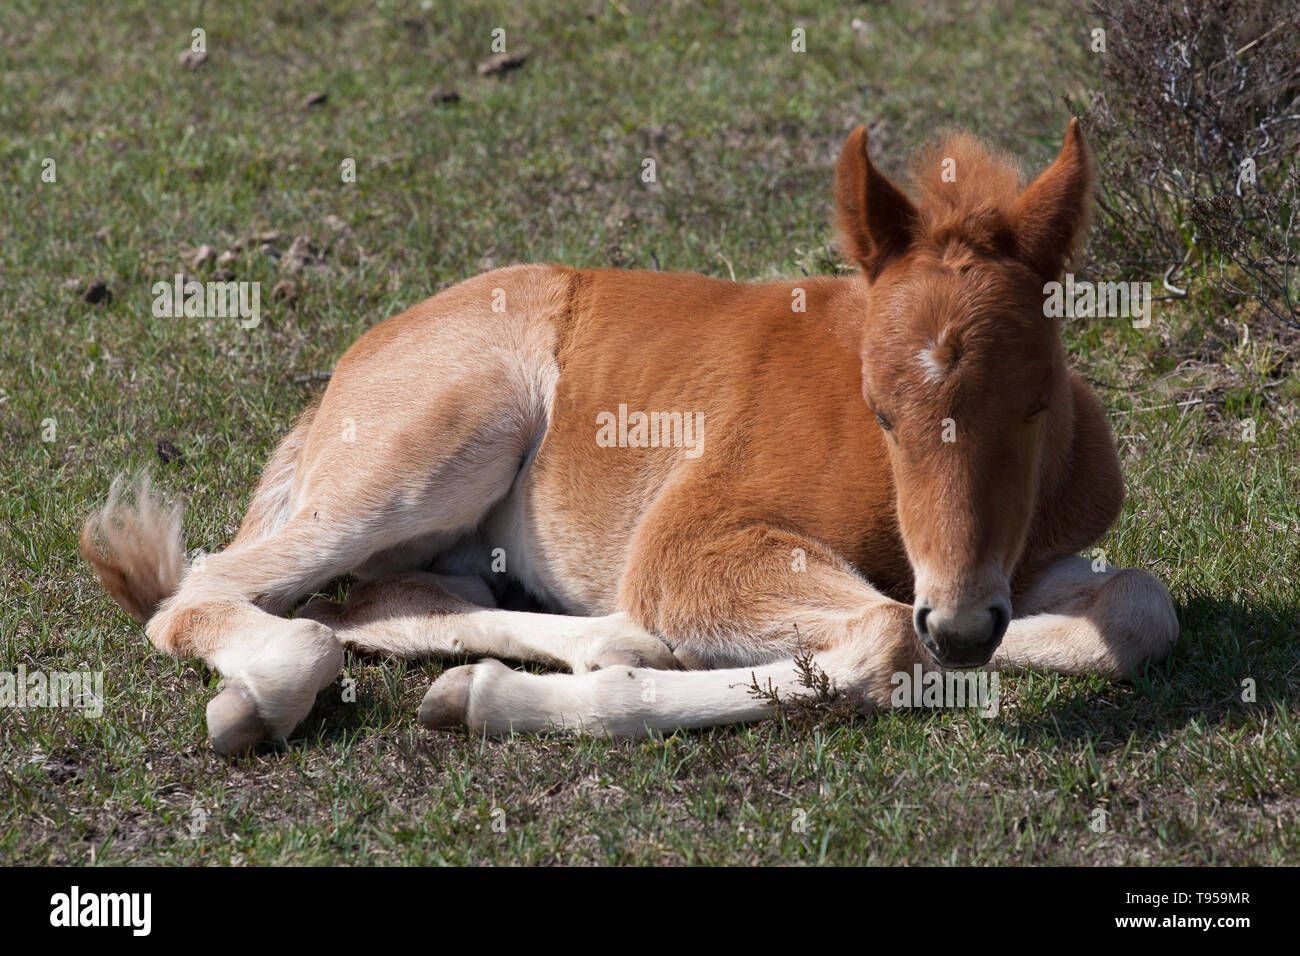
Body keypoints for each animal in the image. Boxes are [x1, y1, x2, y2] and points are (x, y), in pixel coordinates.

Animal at [80, 119, 1178, 754]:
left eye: (1039, 400)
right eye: (875, 407)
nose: (961, 624)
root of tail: (342, 378)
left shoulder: (1024, 562)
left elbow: (1138, 609)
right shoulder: (692, 540)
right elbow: (879, 636)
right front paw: (499, 702)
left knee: (380, 602)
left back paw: (610, 642)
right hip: (439, 440)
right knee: (213, 588)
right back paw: (263, 697)